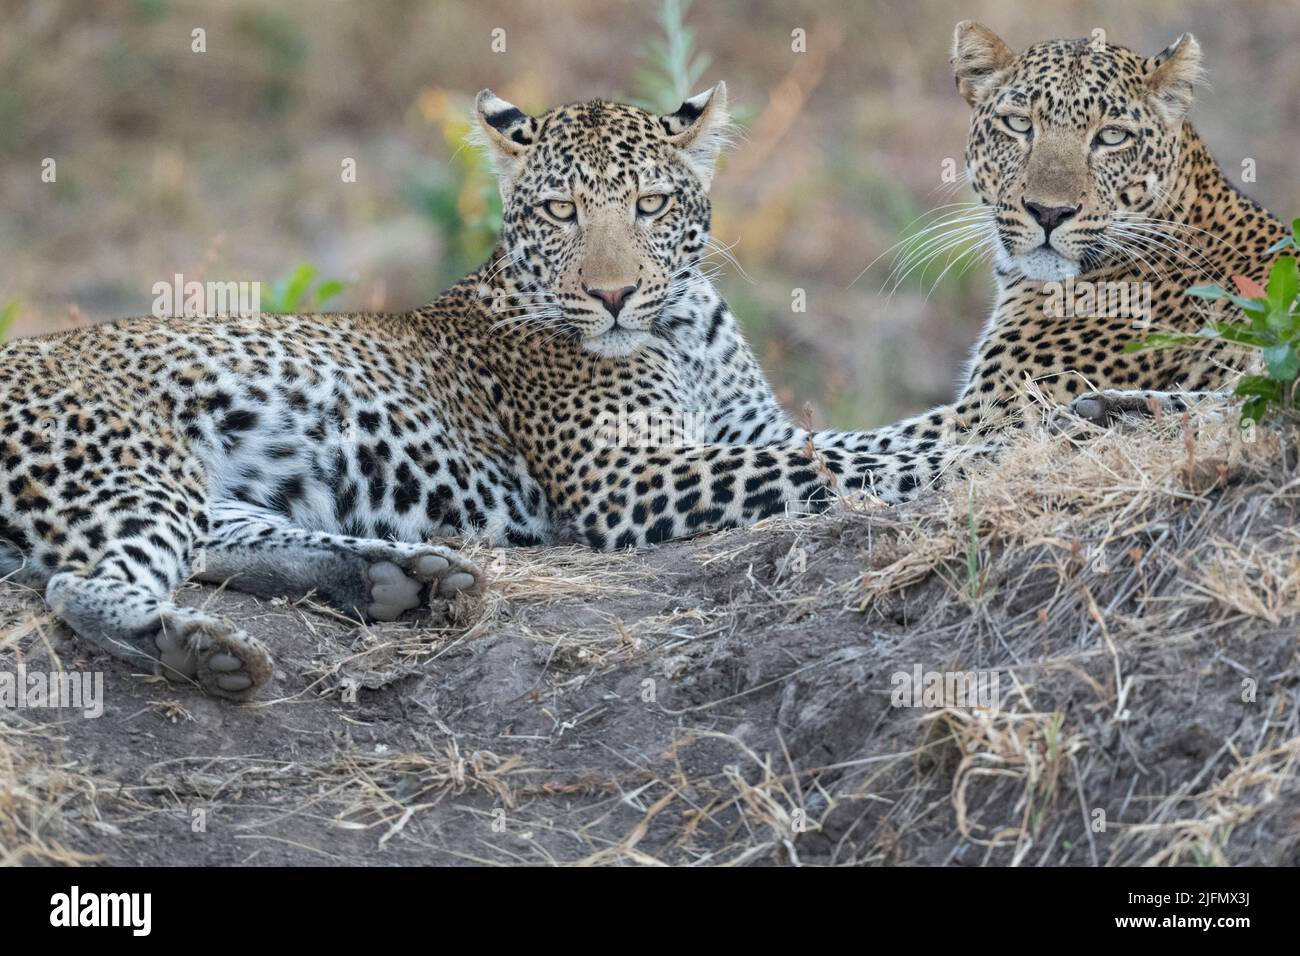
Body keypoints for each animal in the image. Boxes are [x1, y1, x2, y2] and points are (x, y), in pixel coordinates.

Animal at [0, 84, 952, 703]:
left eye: (650, 205)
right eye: (561, 211)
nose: (612, 293)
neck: (680, 328)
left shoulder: (748, 428)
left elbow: (846, 443)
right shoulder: (624, 481)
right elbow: (843, 457)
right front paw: (983, 428)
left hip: (200, 487)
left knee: (213, 546)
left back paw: (400, 578)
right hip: (126, 460)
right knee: (77, 584)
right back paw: (195, 649)